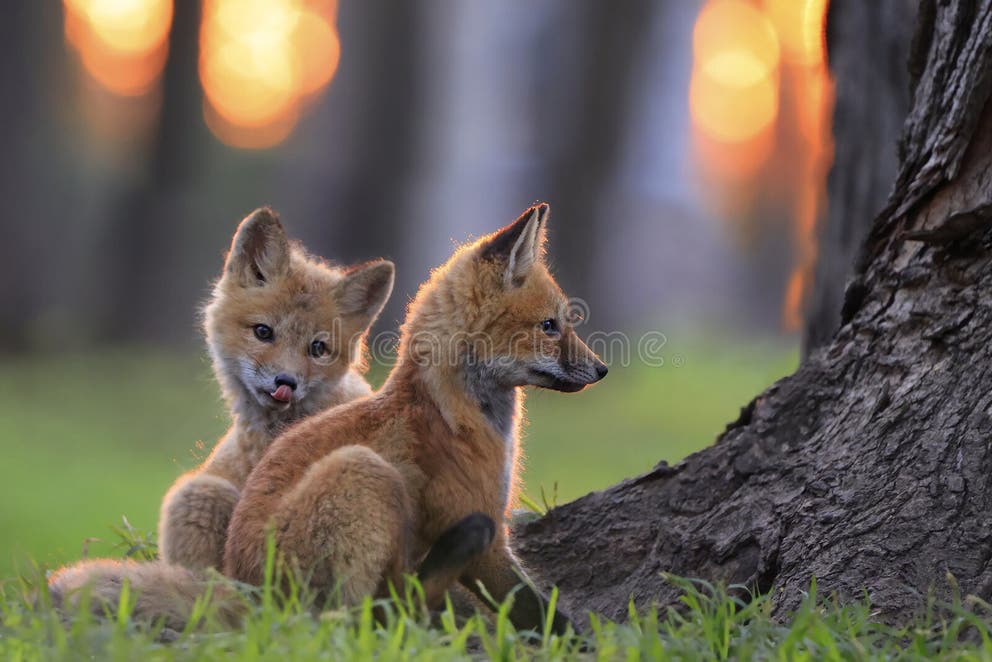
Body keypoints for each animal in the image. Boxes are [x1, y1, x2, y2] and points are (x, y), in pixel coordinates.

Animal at [224, 202, 608, 633]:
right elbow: (540, 612)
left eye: (563, 323)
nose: (602, 369)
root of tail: (245, 599)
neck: (452, 415)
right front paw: (588, 642)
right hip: (363, 471)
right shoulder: (486, 537)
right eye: (549, 326)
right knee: (360, 621)